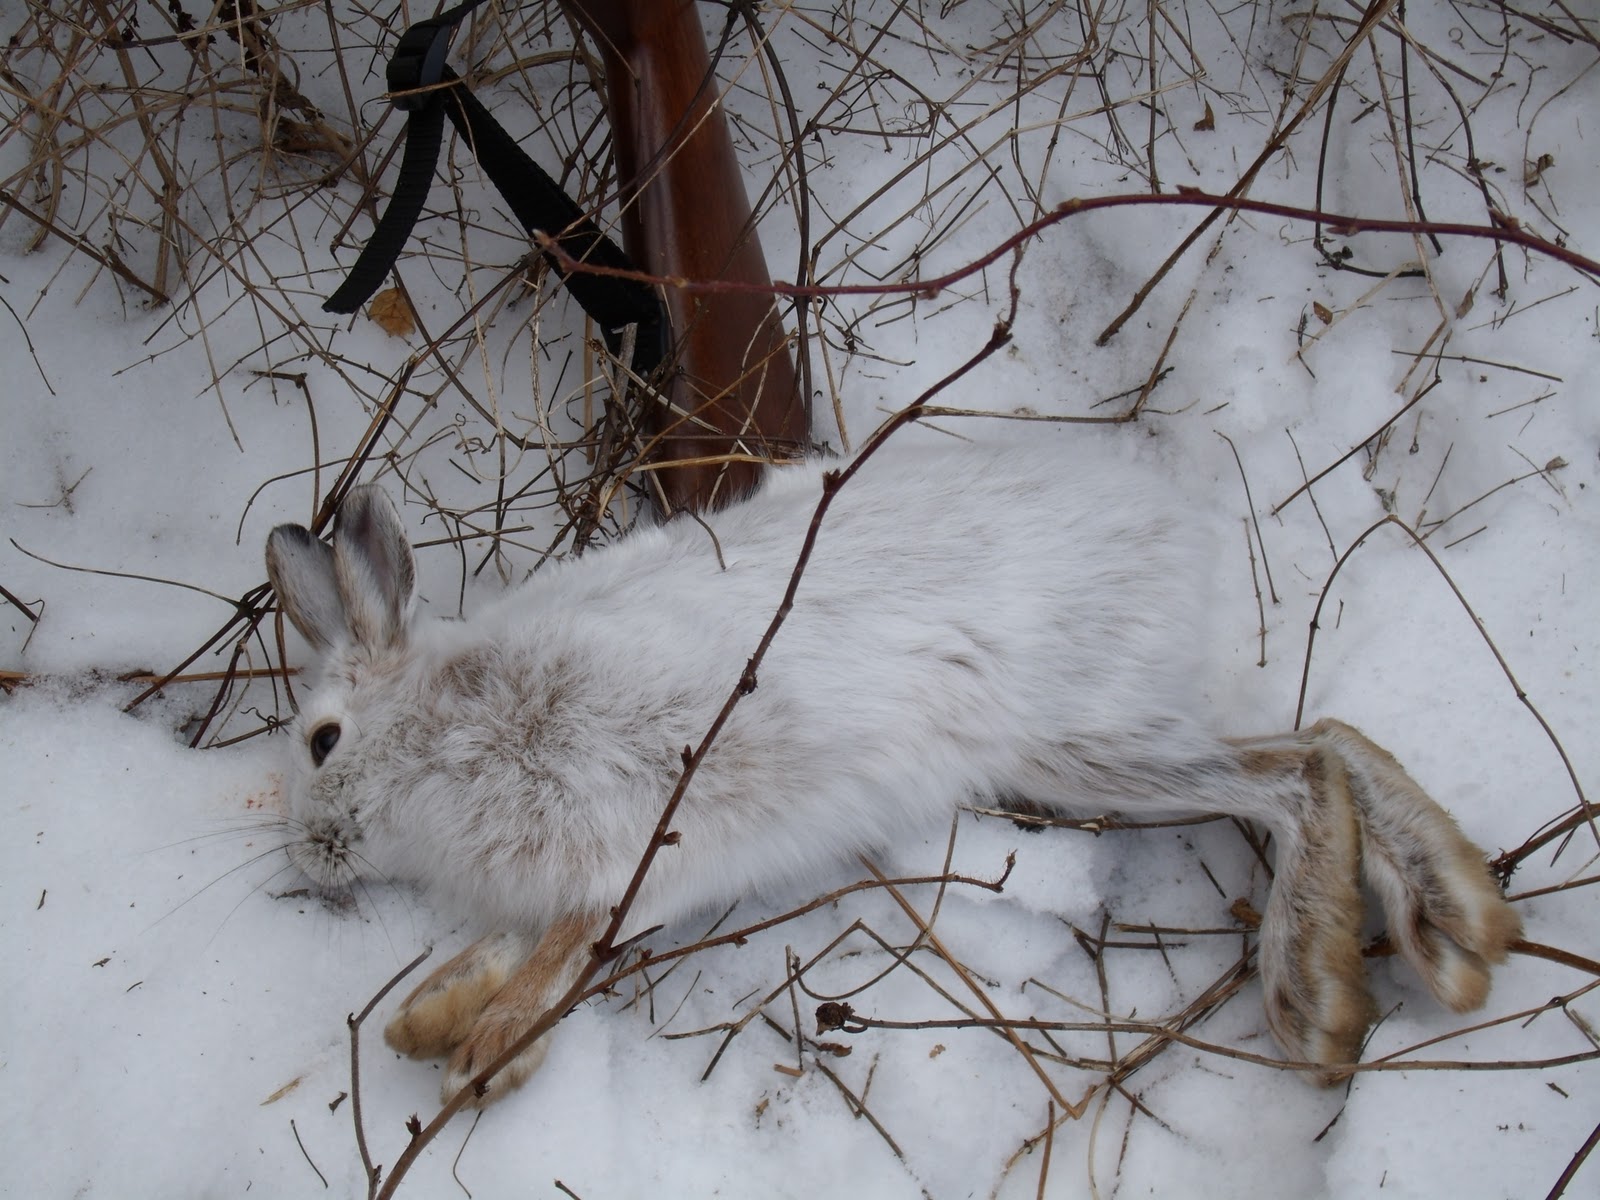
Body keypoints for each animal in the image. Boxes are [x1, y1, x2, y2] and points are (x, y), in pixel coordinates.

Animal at [264, 436, 1521, 1106]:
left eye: (322, 740)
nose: (306, 862)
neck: (449, 723)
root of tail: (1173, 524)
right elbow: (512, 944)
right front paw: (426, 1020)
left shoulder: (644, 837)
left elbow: (567, 949)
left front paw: (481, 1053)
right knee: (1329, 739)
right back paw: (1453, 921)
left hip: (1079, 738)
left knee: (1298, 766)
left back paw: (1322, 993)